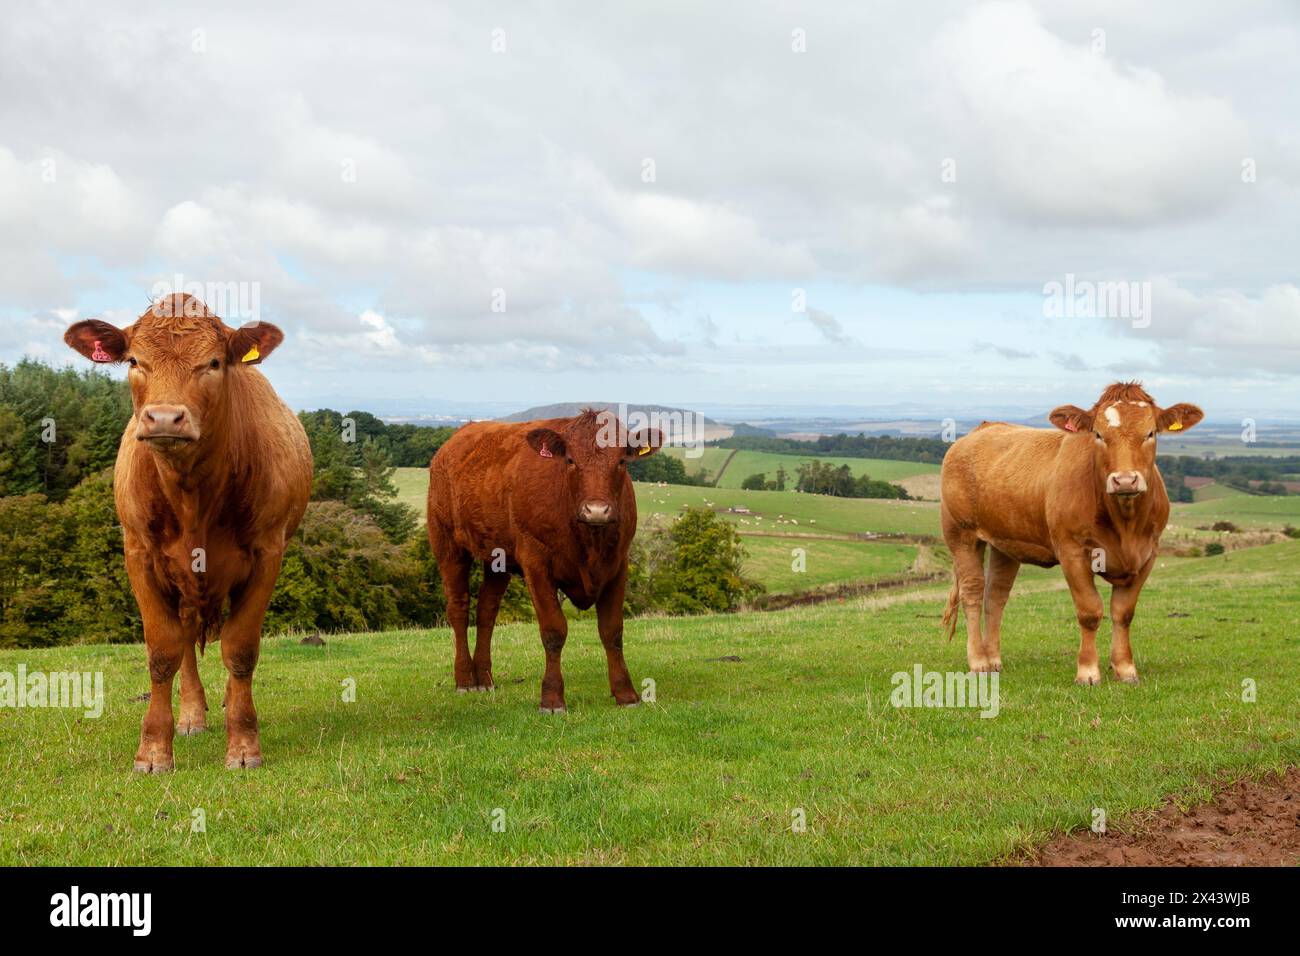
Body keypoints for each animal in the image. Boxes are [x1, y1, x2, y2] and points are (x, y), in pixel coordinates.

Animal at [63, 294, 312, 770]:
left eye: (213, 363)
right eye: (134, 360)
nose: (163, 418)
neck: (192, 495)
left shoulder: (268, 553)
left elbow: (240, 648)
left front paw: (243, 745)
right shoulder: (139, 554)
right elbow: (163, 651)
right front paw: (154, 751)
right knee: (184, 638)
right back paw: (192, 716)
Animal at [427, 409, 662, 712]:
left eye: (621, 461)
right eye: (570, 460)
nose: (597, 510)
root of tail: (455, 440)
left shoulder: (618, 564)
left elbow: (612, 631)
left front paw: (626, 694)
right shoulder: (536, 563)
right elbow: (553, 631)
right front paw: (552, 698)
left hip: (497, 560)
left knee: (486, 611)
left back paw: (485, 678)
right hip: (448, 546)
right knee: (458, 609)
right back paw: (465, 680)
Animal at [940, 382, 1203, 685]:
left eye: (1150, 433)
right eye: (1098, 434)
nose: (1125, 480)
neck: (1125, 525)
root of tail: (978, 431)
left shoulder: (1147, 555)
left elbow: (1123, 613)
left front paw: (1125, 668)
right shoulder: (1072, 551)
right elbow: (1089, 611)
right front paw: (1088, 671)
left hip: (1005, 542)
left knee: (995, 596)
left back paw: (994, 659)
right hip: (961, 534)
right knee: (972, 592)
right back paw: (979, 661)